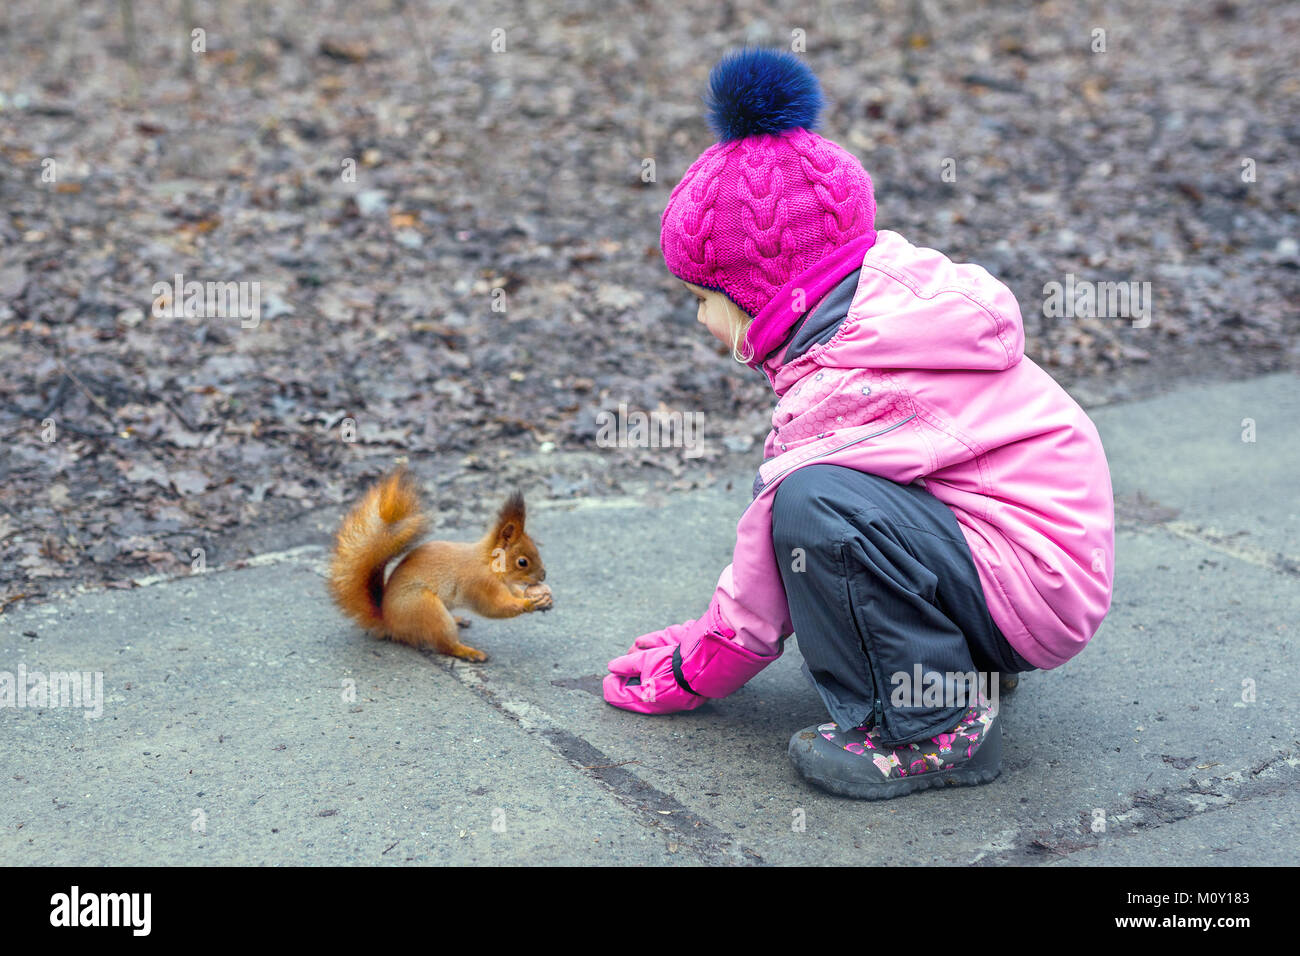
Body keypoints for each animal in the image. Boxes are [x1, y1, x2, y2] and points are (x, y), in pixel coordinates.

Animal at [328, 467, 551, 662]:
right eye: (522, 562)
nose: (543, 576)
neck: (489, 564)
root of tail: (388, 622)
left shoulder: (505, 583)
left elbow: (514, 592)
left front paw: (542, 598)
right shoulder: (480, 584)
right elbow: (495, 607)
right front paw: (527, 604)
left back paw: (459, 620)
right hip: (427, 610)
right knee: (445, 645)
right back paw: (469, 652)